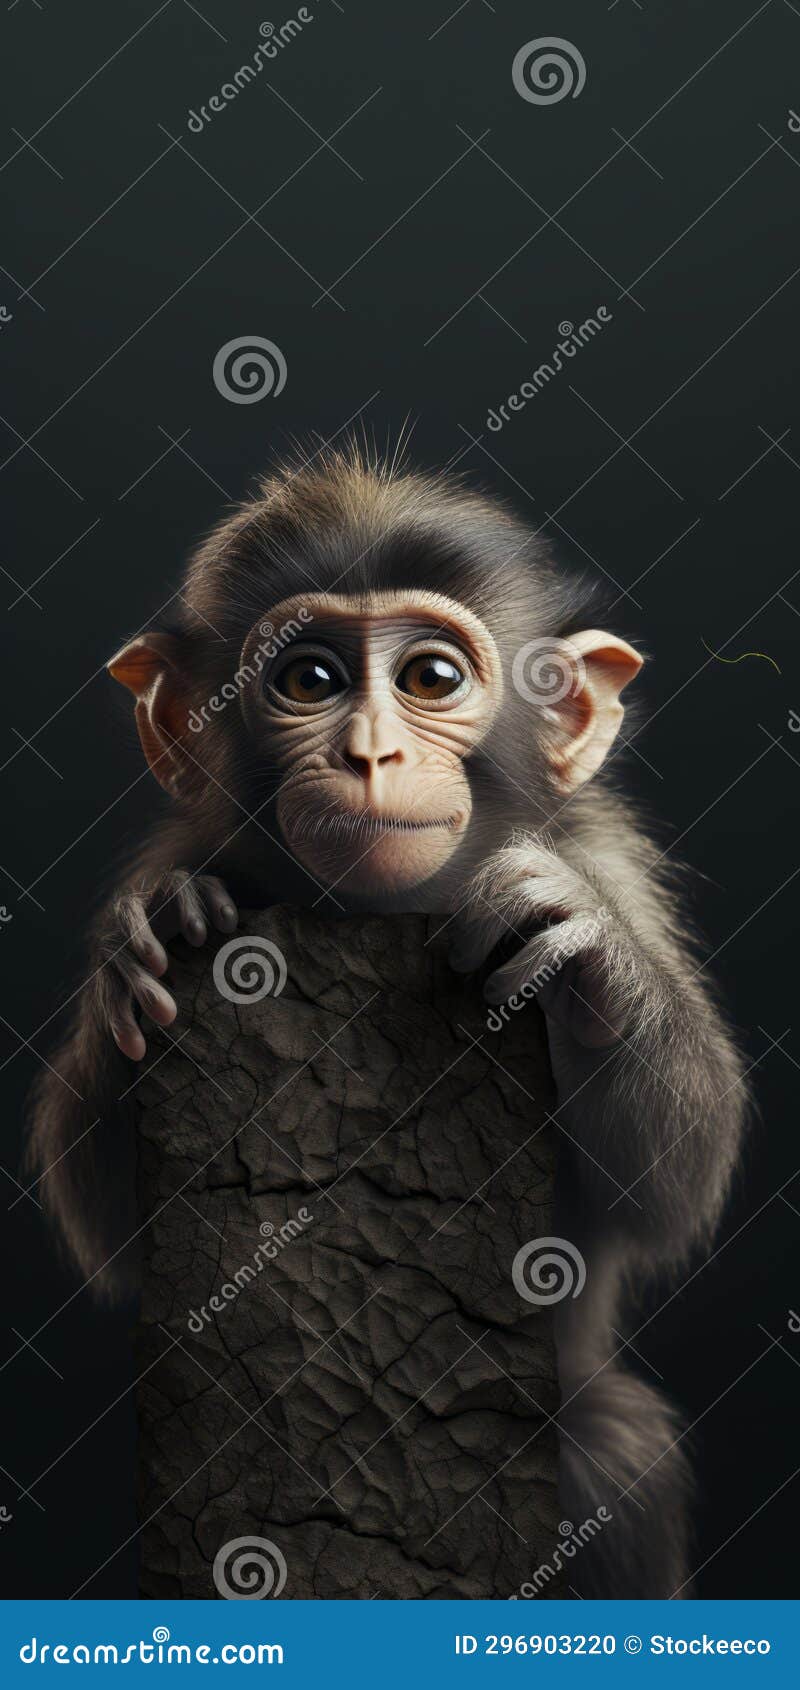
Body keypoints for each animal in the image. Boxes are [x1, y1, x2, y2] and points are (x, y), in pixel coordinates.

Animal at [26, 443, 748, 1599]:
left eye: (431, 680)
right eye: (308, 681)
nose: (368, 752)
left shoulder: (604, 852)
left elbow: (663, 1187)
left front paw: (584, 947)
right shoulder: (195, 846)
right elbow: (119, 1234)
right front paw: (153, 947)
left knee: (613, 1452)